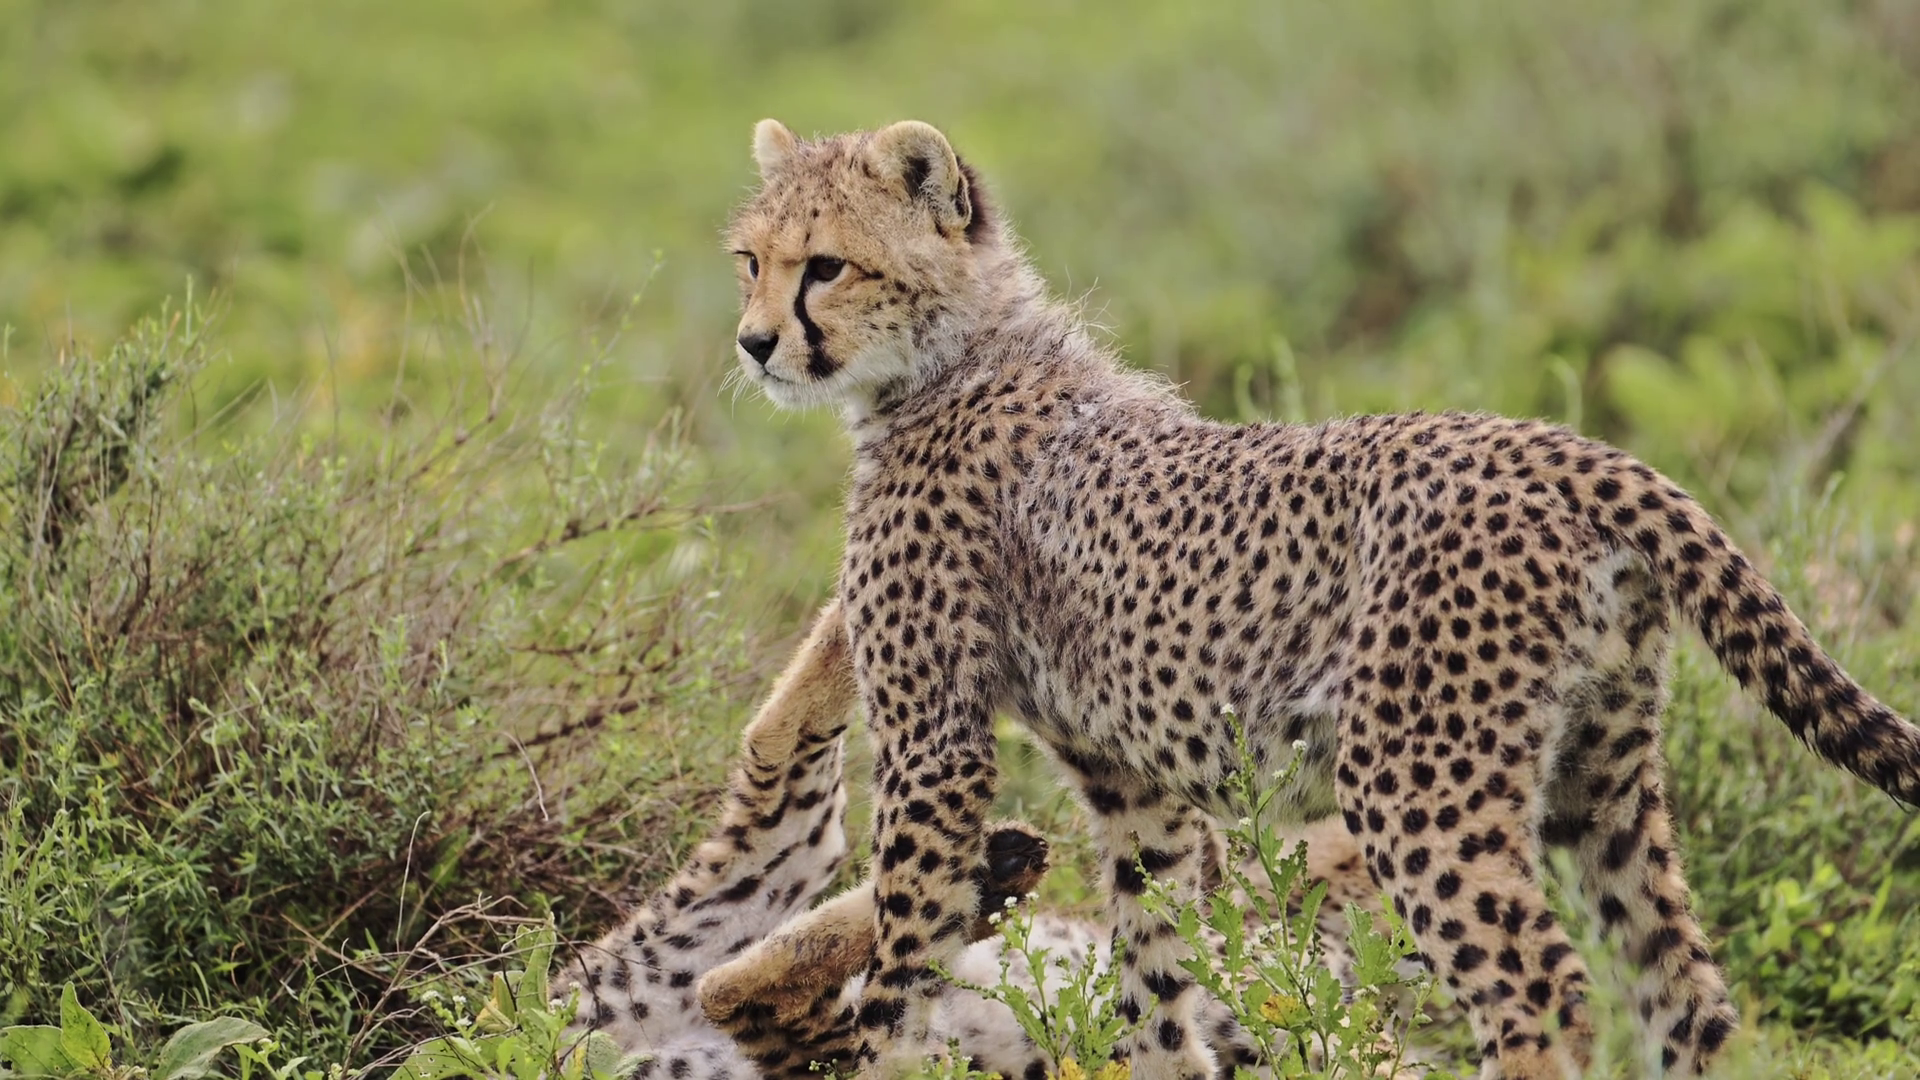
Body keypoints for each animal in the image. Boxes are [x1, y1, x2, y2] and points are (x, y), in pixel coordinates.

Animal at [720, 117, 1920, 1080]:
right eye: (749, 263)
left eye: (824, 267)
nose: (755, 343)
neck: (947, 355)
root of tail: (1563, 444)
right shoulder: (1127, 780)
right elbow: (1155, 972)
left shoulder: (938, 746)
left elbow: (903, 961)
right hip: (1599, 778)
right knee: (1683, 994)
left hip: (1415, 782)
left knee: (1545, 988)